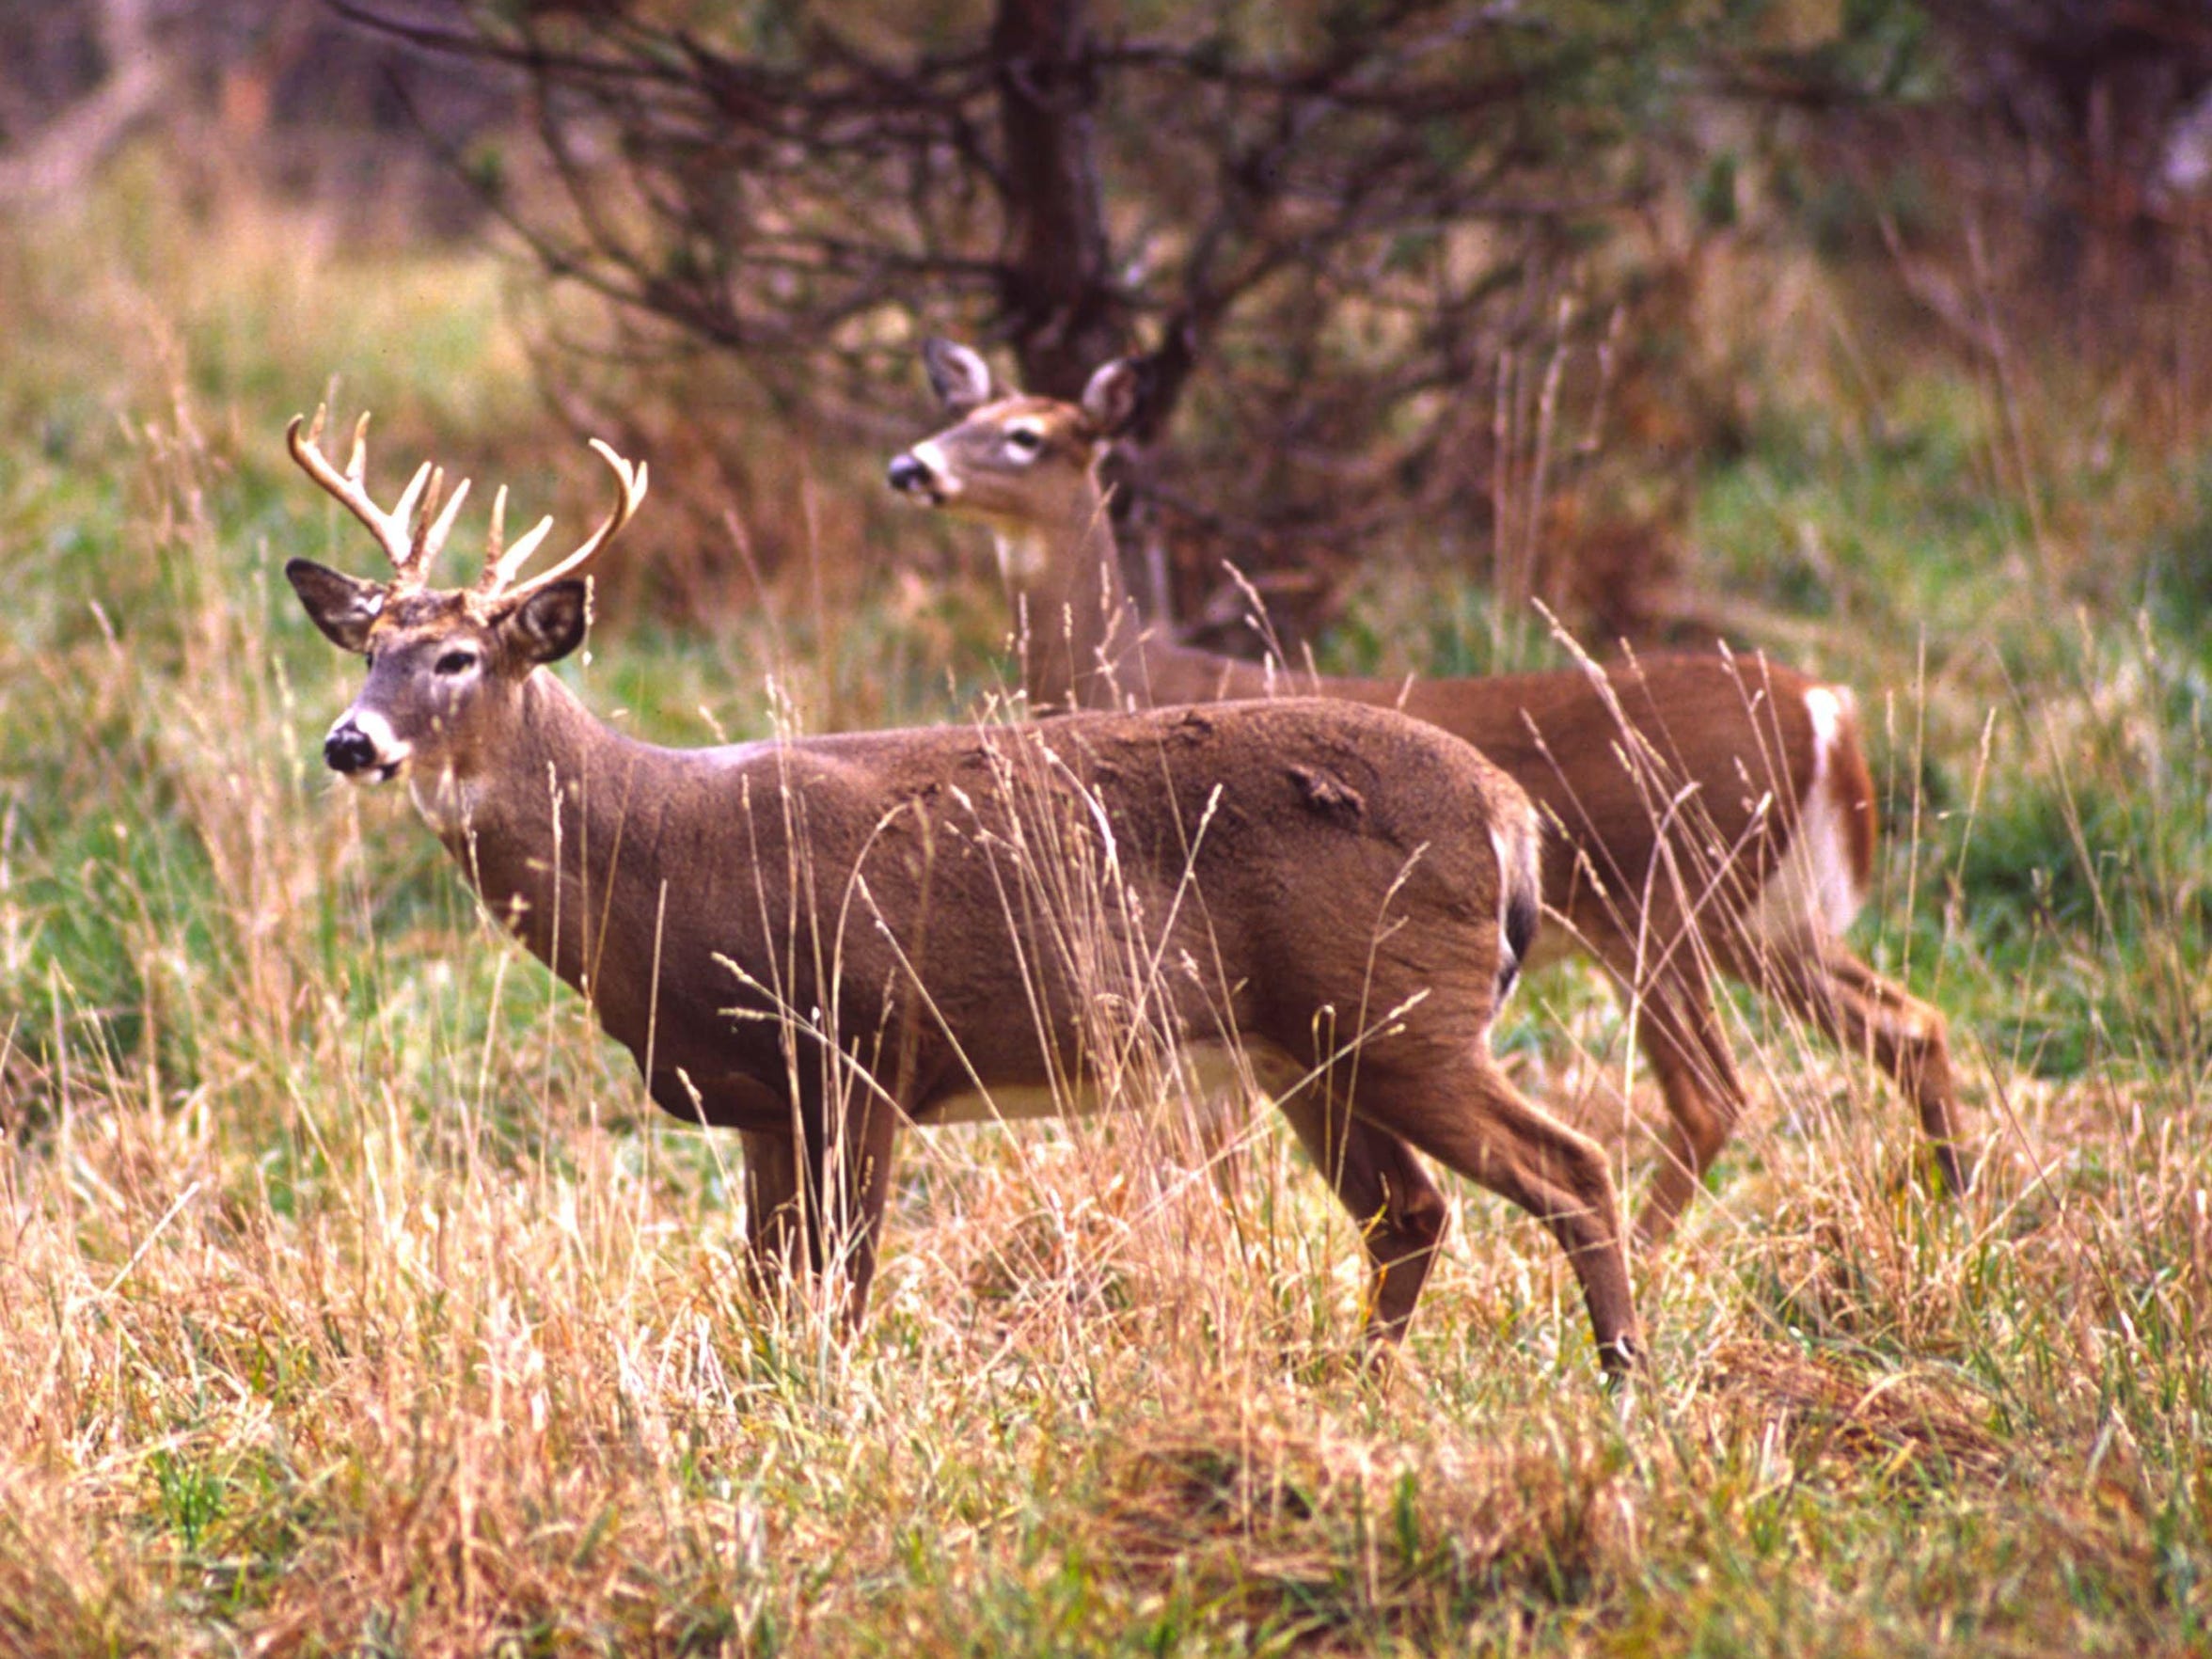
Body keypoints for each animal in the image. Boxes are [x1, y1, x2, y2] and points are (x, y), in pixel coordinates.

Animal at [280, 407, 1646, 1375]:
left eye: (460, 656)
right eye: (370, 647)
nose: (352, 741)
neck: (652, 855)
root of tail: (1510, 817)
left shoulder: (868, 1041)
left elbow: (843, 1283)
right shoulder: (764, 1094)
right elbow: (767, 1285)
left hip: (1402, 1009)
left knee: (1572, 1167)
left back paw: (1621, 1376)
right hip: (1309, 1046)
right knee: (1408, 1212)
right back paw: (1362, 1379)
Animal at [887, 338, 1972, 1248]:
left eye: (1026, 436)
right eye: (959, 411)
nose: (912, 468)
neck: (1125, 673)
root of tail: (1826, 709)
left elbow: (1207, 1143)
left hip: (1663, 900)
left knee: (1711, 1091)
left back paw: (1654, 1255)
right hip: (1760, 916)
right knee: (1910, 1026)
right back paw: (1951, 1204)